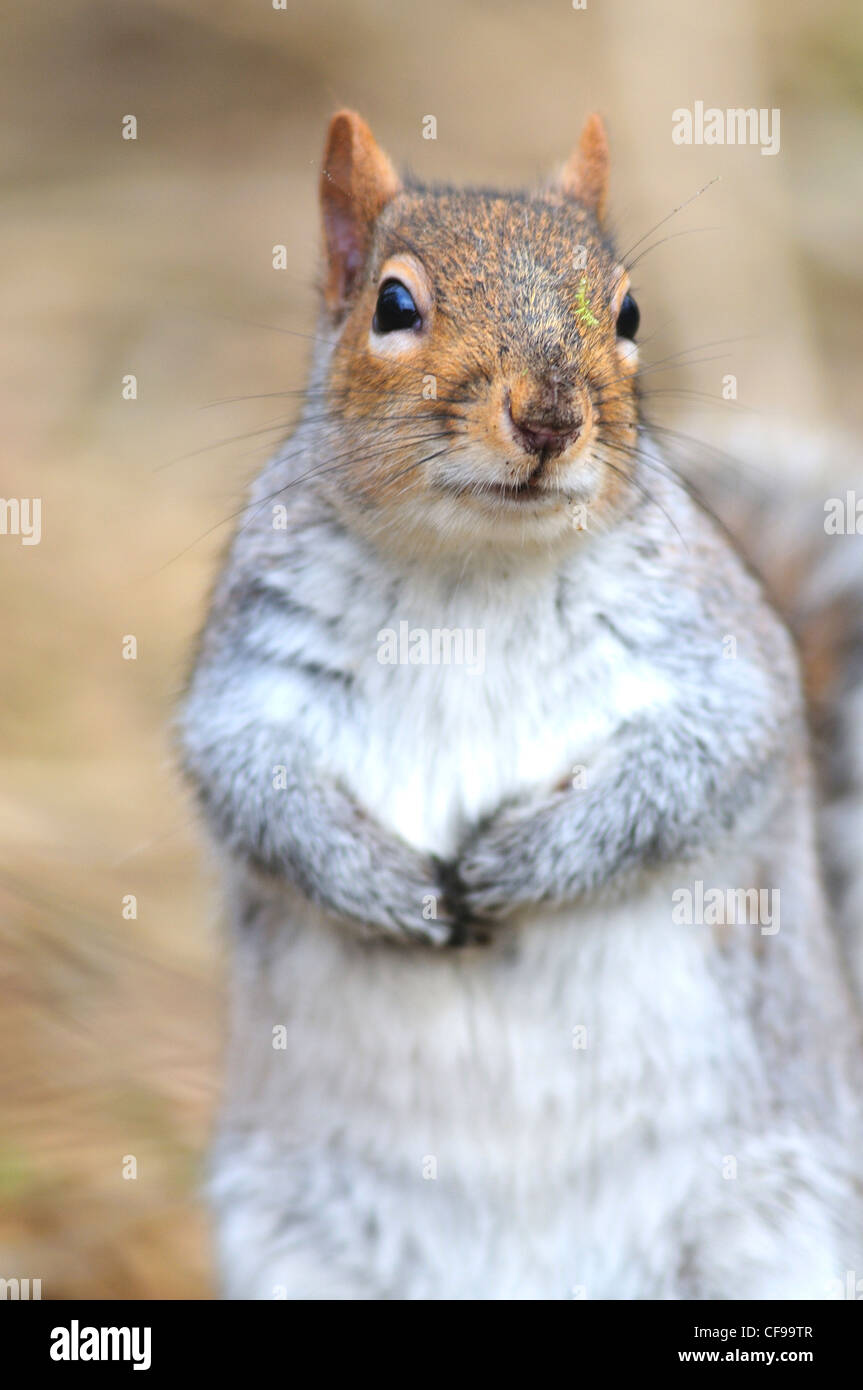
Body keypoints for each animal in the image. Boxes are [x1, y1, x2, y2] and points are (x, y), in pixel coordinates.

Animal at [179, 110, 863, 1300]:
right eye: (391, 306)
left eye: (628, 311)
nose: (548, 417)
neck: (473, 571)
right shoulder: (252, 665)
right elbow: (248, 784)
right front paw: (389, 888)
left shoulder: (721, 658)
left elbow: (705, 766)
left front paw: (520, 862)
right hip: (299, 1245)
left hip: (771, 1232)